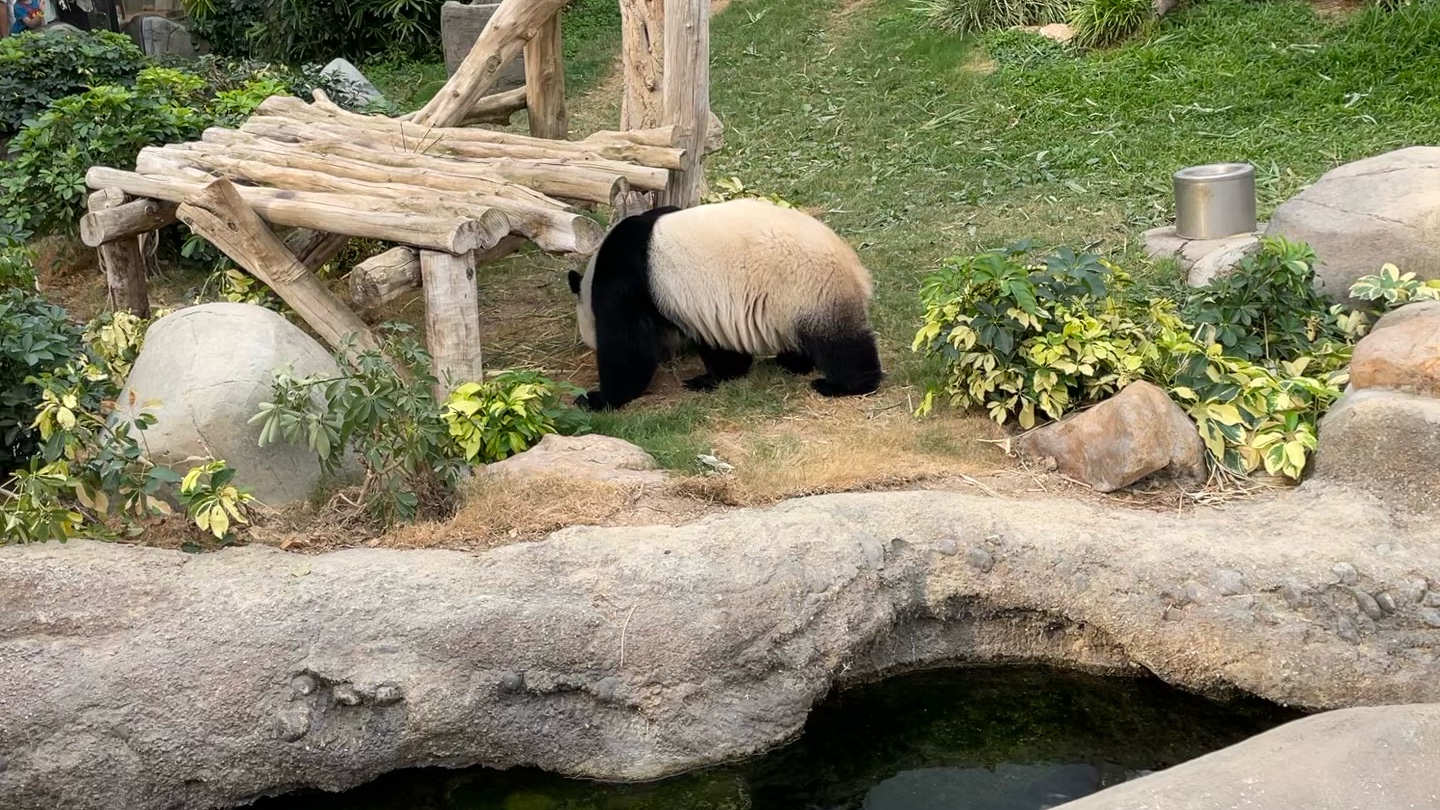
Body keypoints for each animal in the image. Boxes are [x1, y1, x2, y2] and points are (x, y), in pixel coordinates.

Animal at [566, 197, 882, 411]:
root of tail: (854, 267)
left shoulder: (625, 282)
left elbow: (628, 350)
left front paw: (595, 398)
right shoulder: (710, 308)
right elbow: (722, 345)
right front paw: (721, 375)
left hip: (810, 290)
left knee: (840, 344)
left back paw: (844, 385)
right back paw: (793, 363)